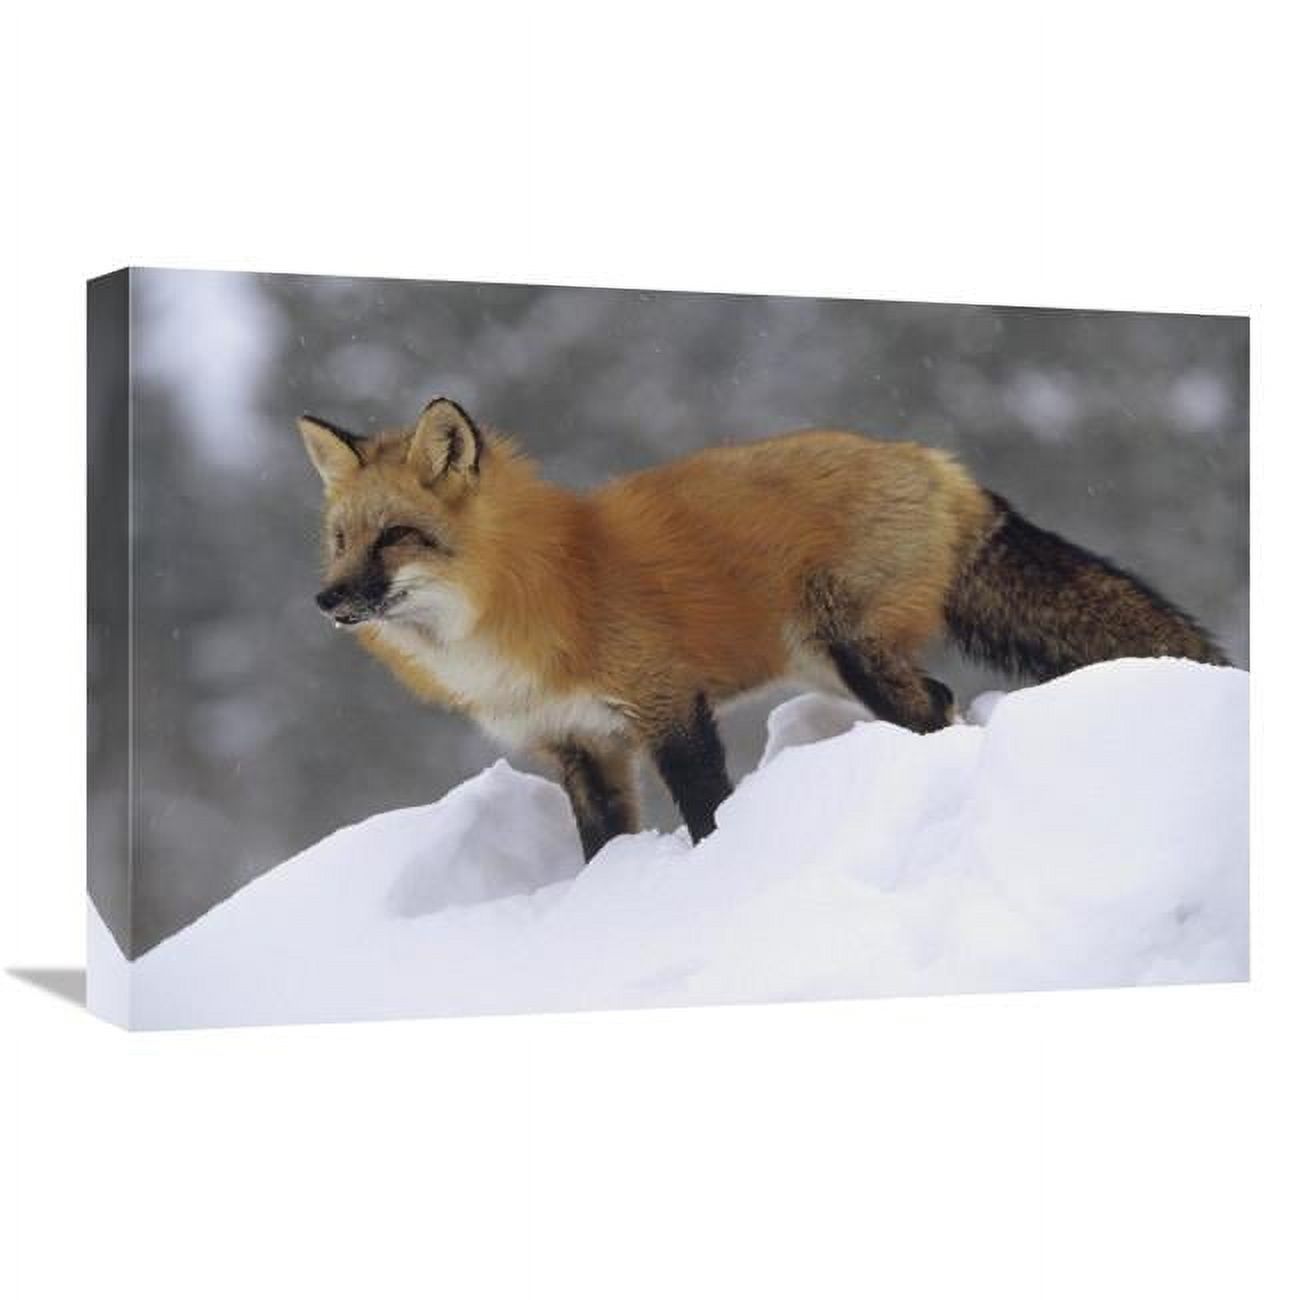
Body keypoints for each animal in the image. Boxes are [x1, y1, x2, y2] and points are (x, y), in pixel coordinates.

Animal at [298, 397, 1228, 860]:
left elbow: (707, 806)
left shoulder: (667, 702)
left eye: (396, 537)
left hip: (854, 654)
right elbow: (599, 846)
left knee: (932, 706)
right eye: (341, 540)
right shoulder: (577, 746)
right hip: (827, 662)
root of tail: (934, 461)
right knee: (938, 697)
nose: (326, 599)